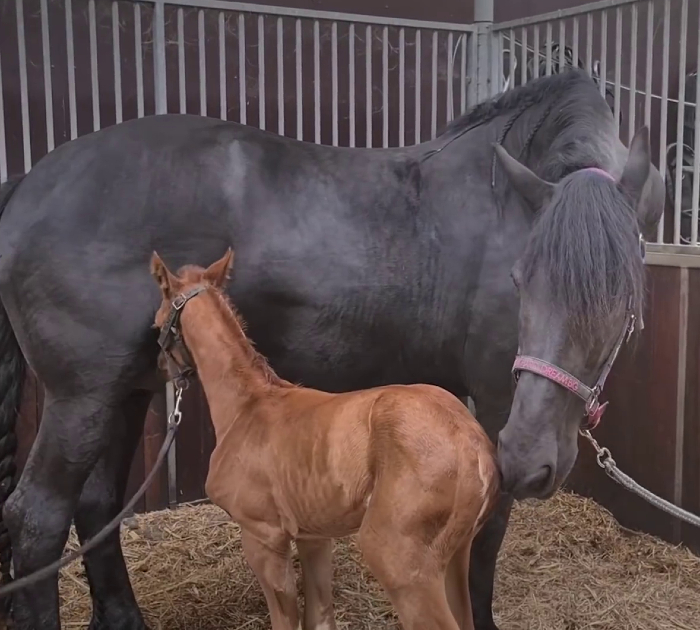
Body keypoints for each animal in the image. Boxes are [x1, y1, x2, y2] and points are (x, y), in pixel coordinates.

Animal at [150, 248, 501, 630]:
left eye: (157, 324)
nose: (161, 368)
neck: (247, 406)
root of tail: (473, 445)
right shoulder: (314, 537)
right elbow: (319, 616)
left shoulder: (263, 537)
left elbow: (284, 619)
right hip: (456, 554)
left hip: (398, 559)